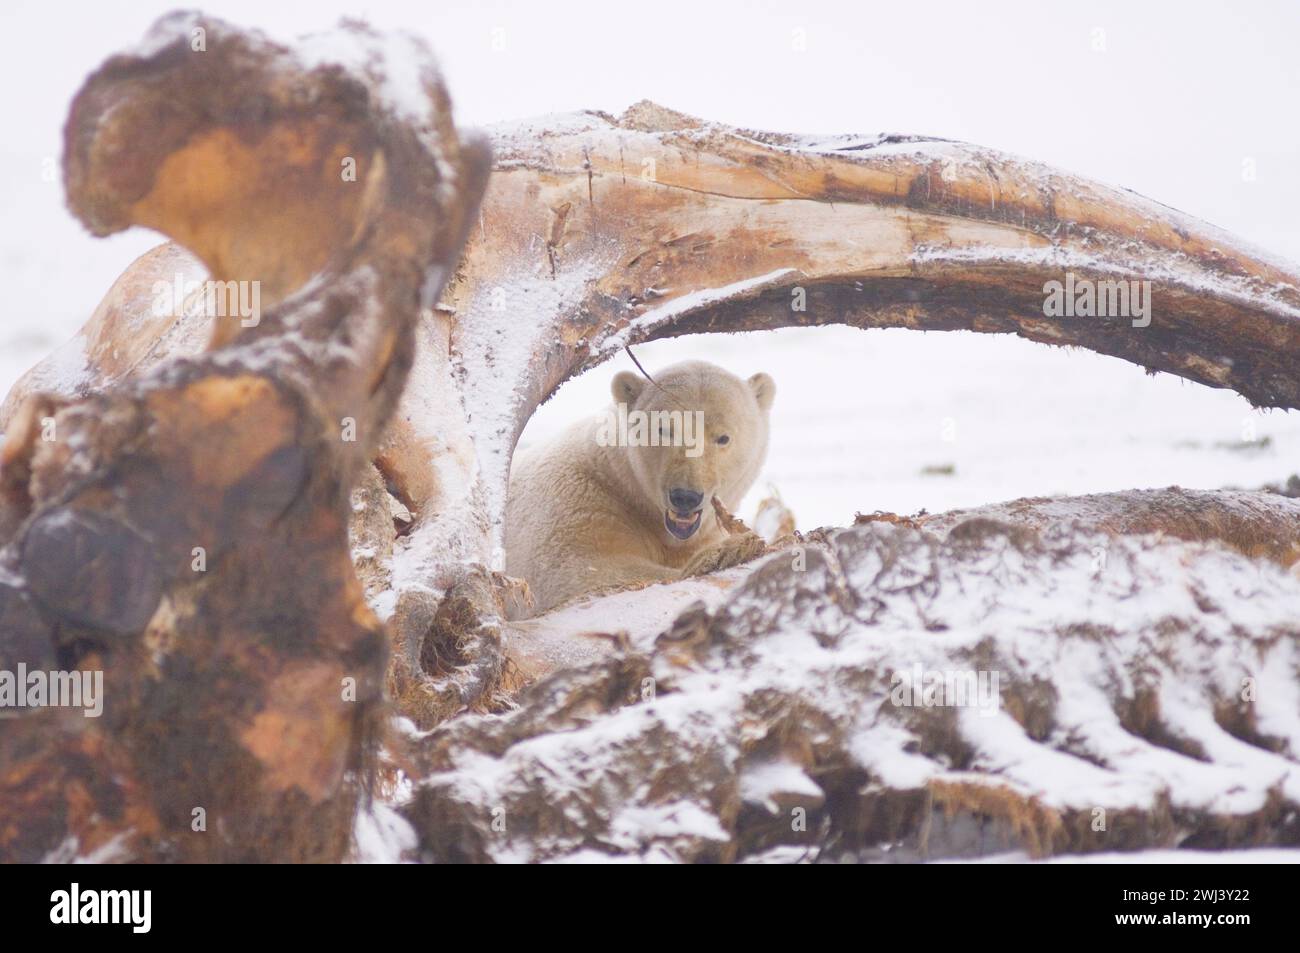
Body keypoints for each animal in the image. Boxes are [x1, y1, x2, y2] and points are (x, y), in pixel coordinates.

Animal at [505, 360, 776, 614]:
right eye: (664, 429)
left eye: (723, 438)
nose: (685, 496)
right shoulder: (579, 504)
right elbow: (582, 573)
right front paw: (728, 552)